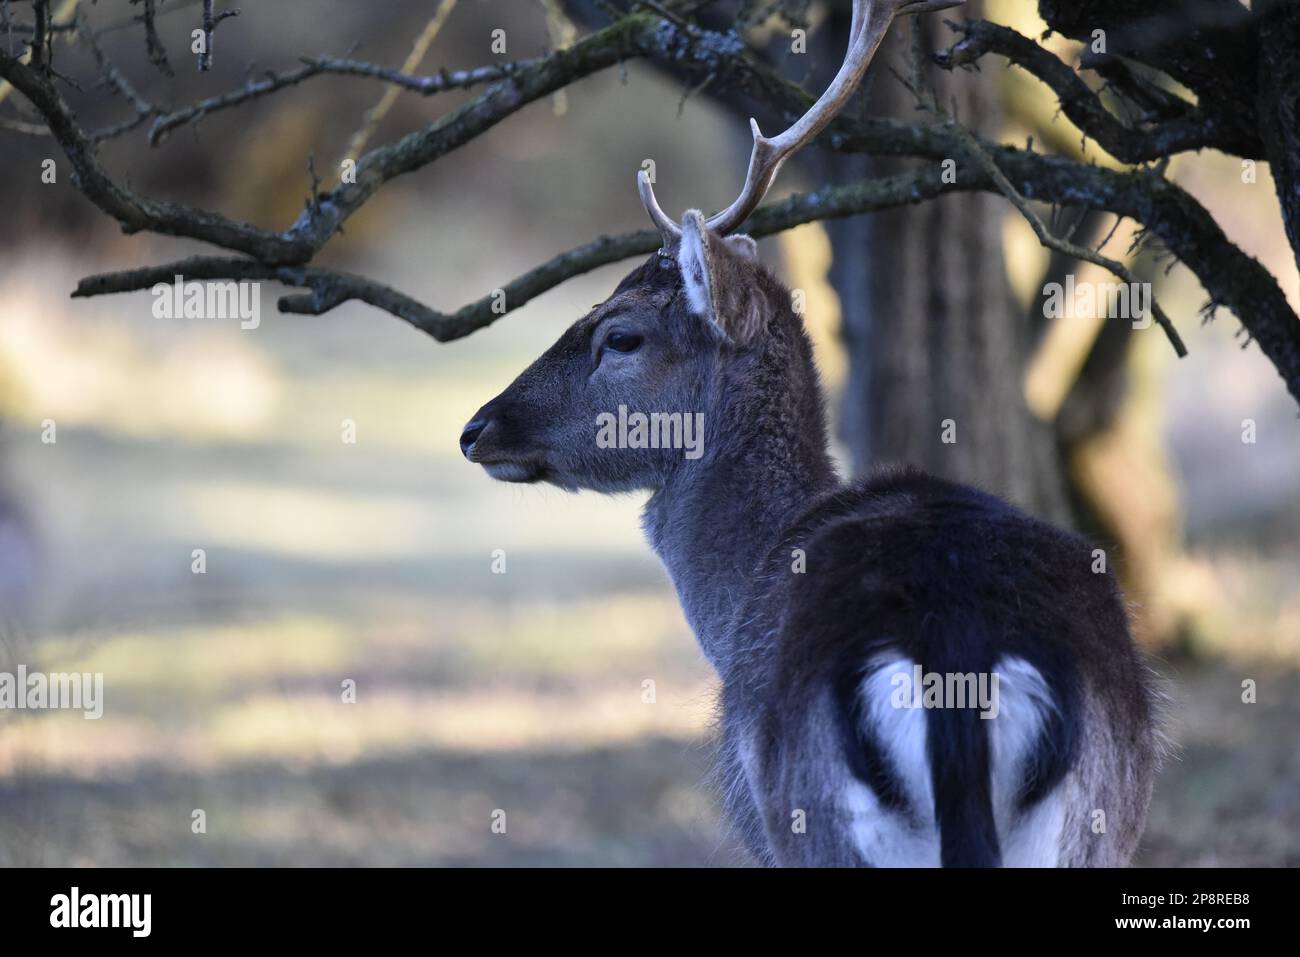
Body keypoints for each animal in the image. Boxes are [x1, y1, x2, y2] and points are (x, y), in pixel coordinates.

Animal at [462, 0, 1164, 868]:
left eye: (620, 335)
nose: (476, 428)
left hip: (809, 816)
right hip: (1096, 820)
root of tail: (959, 658)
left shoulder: (749, 811)